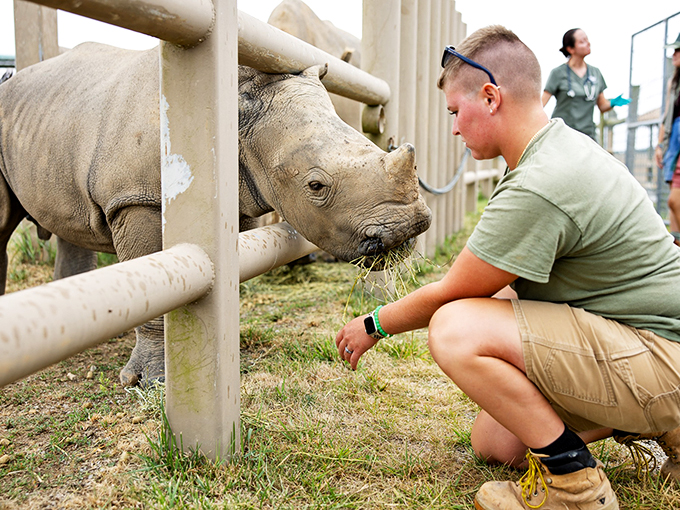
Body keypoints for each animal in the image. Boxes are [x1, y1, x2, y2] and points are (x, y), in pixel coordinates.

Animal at [0, 42, 431, 387]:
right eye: (315, 186)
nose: (407, 229)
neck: (236, 111)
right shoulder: (136, 198)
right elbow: (149, 280)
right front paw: (151, 381)